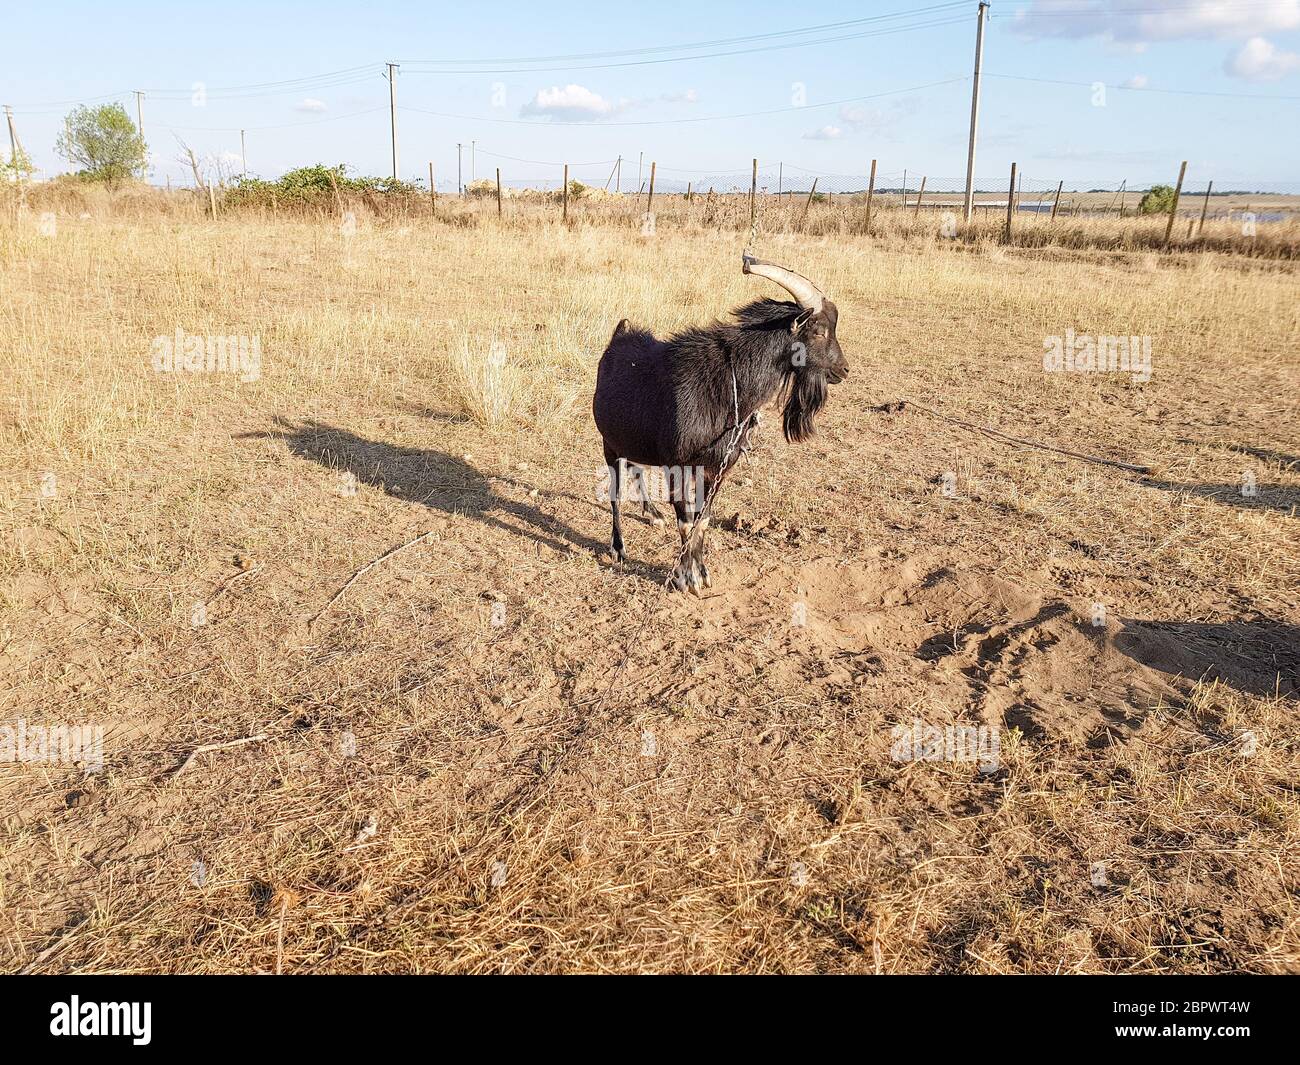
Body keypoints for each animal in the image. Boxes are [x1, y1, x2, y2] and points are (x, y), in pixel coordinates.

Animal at [592, 254, 849, 594]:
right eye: (819, 331)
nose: (844, 369)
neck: (730, 384)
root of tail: (619, 336)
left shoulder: (717, 468)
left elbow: (703, 518)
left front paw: (701, 571)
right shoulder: (677, 463)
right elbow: (686, 519)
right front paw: (685, 578)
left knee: (636, 468)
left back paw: (653, 514)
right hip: (609, 443)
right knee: (615, 491)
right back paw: (619, 548)